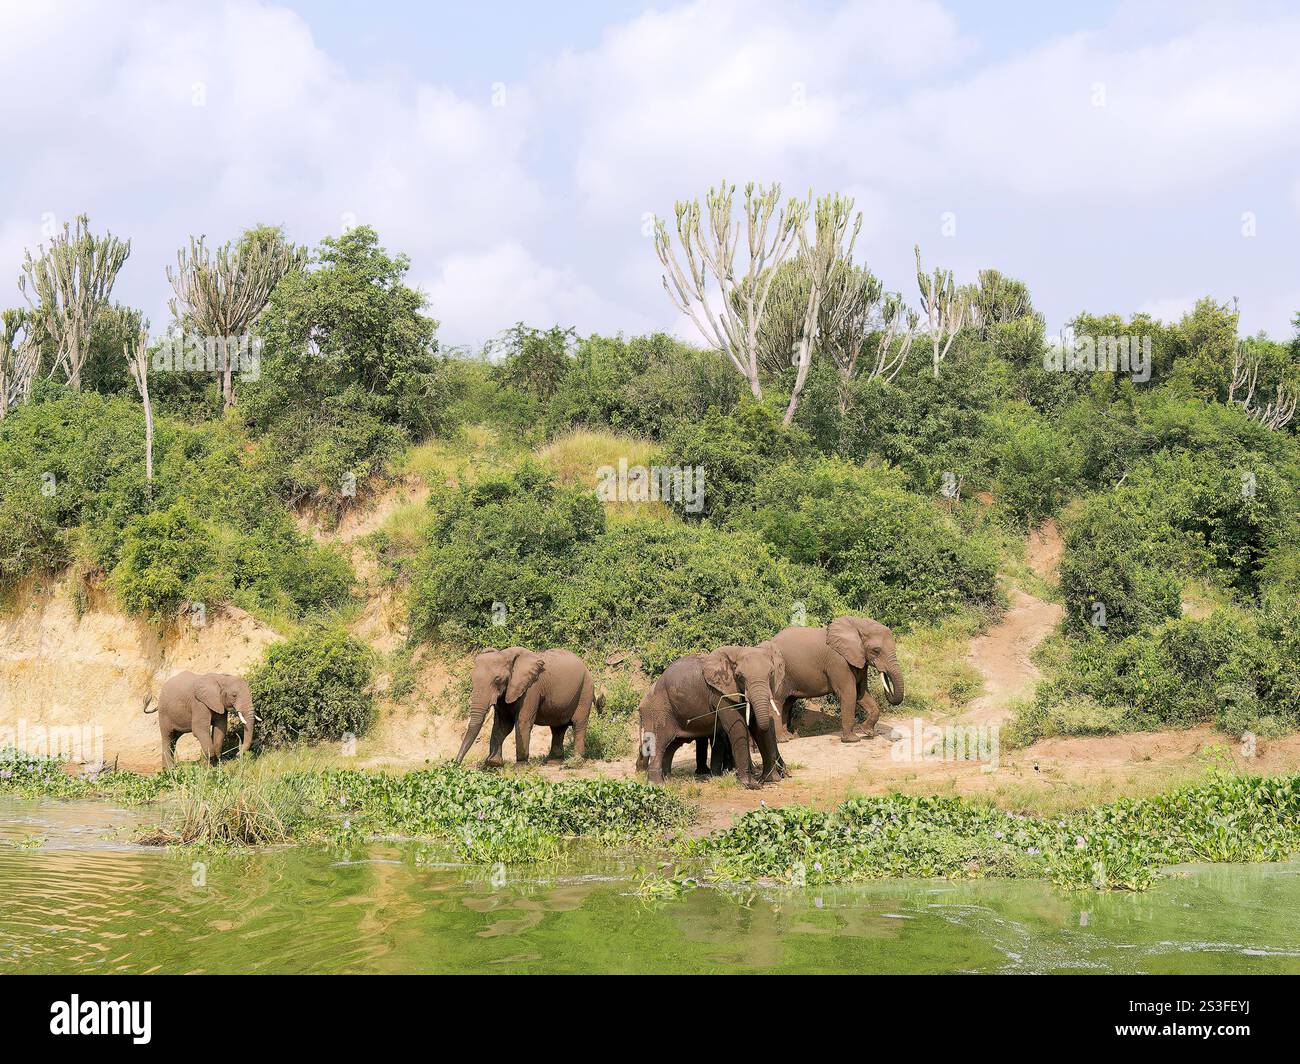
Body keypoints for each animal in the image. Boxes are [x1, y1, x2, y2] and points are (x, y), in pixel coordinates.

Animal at [455, 647, 600, 767]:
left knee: (578, 724)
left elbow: (522, 722)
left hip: (585, 690)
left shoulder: (531, 689)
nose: (455, 764)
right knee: (558, 728)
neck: (506, 655)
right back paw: (553, 762)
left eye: (497, 680)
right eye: (472, 679)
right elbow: (502, 725)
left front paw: (520, 765)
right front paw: (493, 763)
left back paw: (574, 763)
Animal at [635, 642, 785, 787]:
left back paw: (667, 778)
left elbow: (758, 728)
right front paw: (748, 784)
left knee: (671, 744)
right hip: (659, 709)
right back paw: (657, 784)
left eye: (771, 673)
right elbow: (737, 727)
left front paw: (770, 780)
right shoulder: (720, 693)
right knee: (658, 740)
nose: (759, 782)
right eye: (739, 676)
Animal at [770, 616, 904, 743]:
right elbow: (849, 693)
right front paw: (852, 740)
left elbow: (861, 692)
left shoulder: (859, 660)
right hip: (779, 673)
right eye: (876, 650)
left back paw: (789, 737)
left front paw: (868, 733)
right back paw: (782, 740)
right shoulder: (839, 662)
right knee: (778, 701)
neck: (858, 626)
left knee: (788, 702)